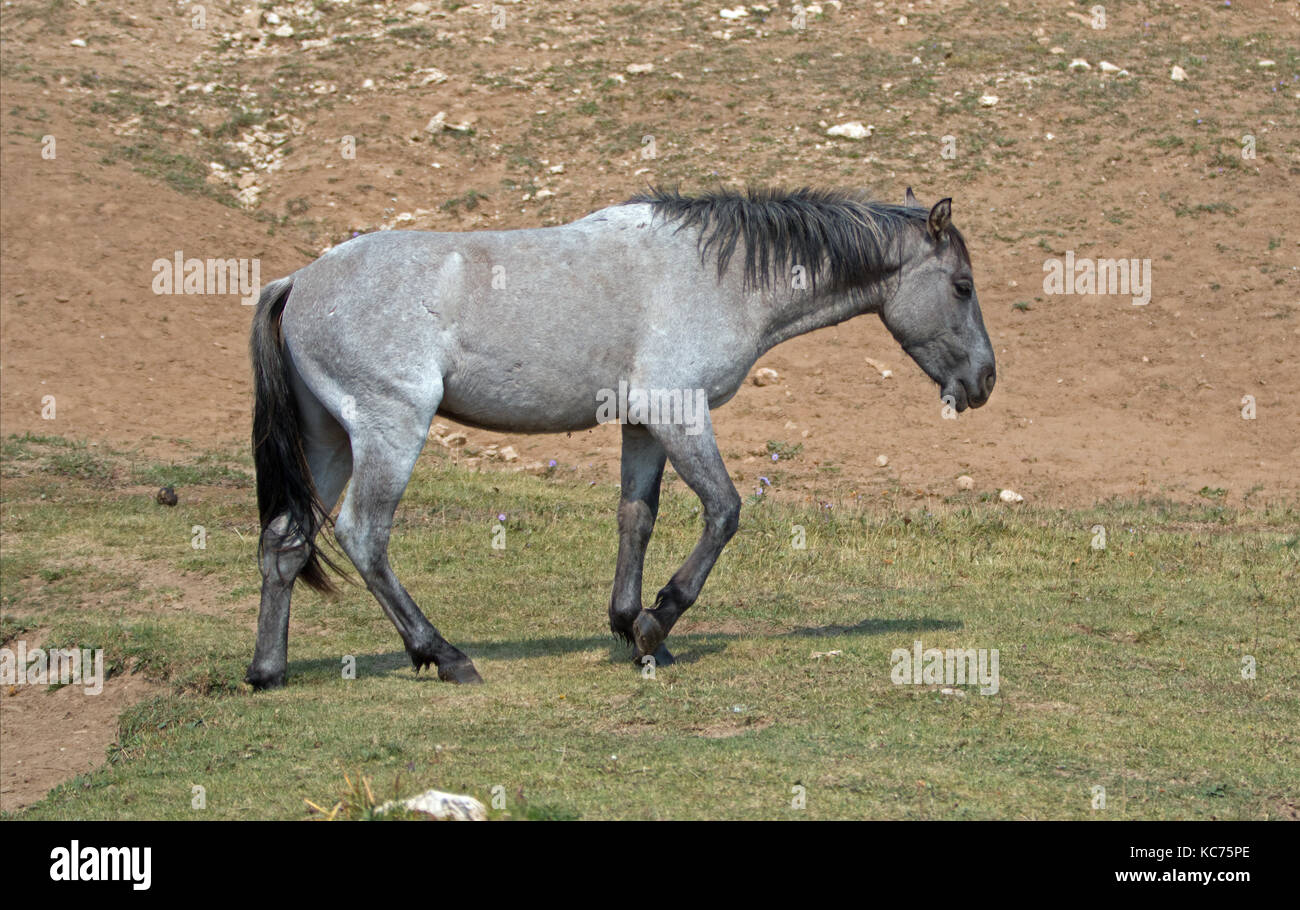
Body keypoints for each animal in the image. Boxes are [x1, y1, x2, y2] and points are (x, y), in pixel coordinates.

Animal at [246, 186, 996, 688]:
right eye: (961, 285)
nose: (985, 379)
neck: (710, 274)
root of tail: (299, 281)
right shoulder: (679, 411)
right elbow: (724, 512)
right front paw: (660, 619)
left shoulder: (643, 423)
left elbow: (636, 517)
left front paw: (633, 629)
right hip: (389, 432)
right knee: (364, 537)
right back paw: (444, 655)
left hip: (328, 442)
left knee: (285, 540)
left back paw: (267, 669)